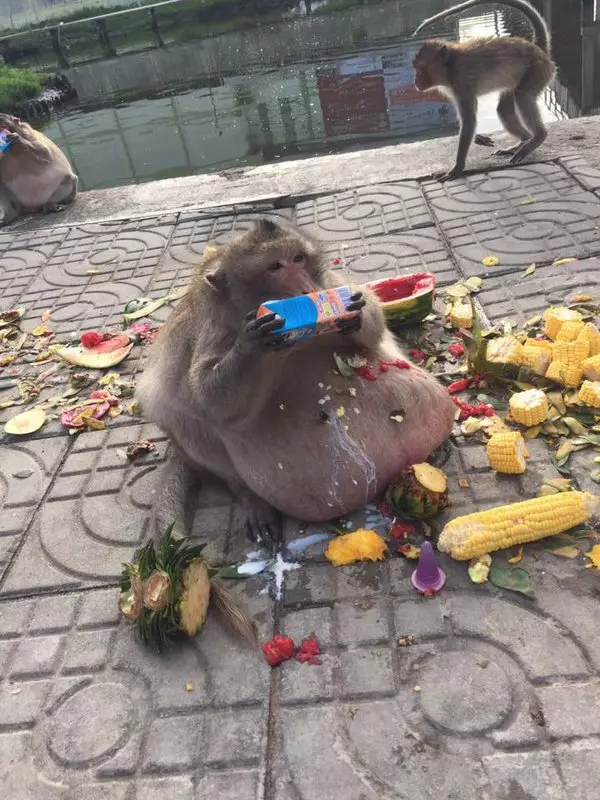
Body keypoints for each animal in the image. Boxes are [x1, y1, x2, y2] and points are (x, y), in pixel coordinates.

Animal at [137, 219, 454, 544]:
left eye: (298, 259)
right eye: (275, 266)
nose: (305, 288)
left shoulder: (326, 280)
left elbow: (374, 326)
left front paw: (353, 311)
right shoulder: (211, 323)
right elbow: (209, 398)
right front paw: (255, 341)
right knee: (176, 414)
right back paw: (251, 499)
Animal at [412, 0, 556, 181]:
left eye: (421, 69)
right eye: (416, 68)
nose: (415, 81)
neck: (451, 66)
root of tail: (538, 49)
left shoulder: (462, 83)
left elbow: (469, 121)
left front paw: (457, 168)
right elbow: (468, 121)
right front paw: (477, 139)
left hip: (538, 70)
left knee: (522, 96)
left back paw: (538, 137)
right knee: (504, 108)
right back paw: (524, 140)